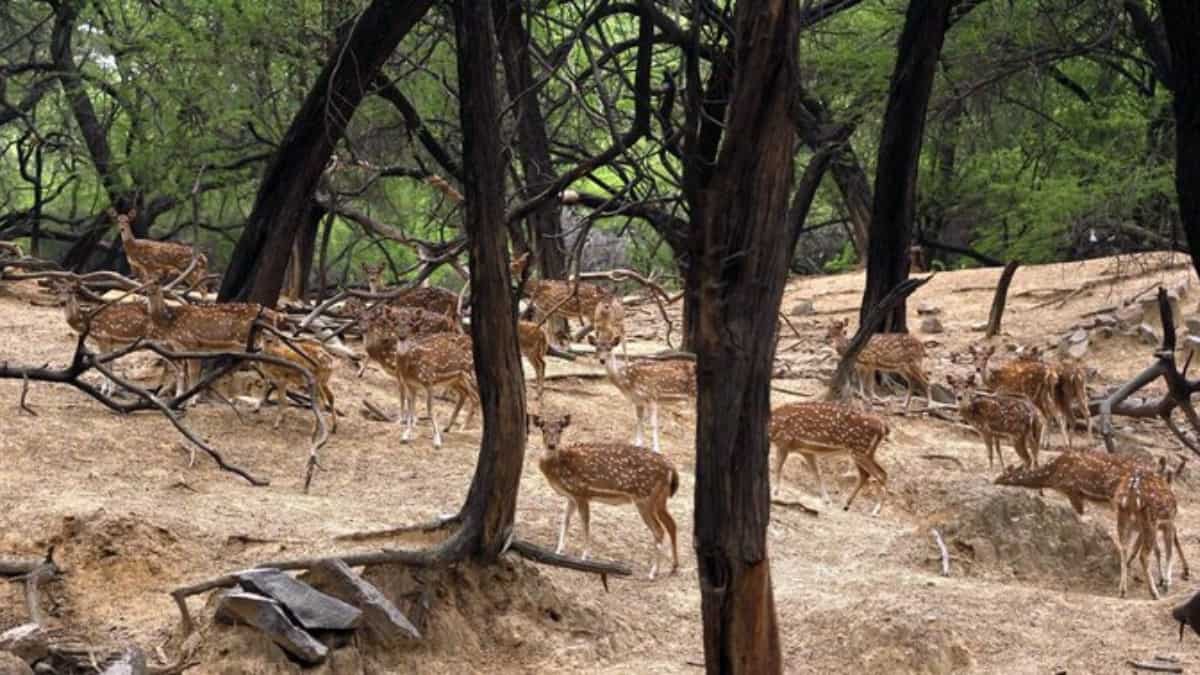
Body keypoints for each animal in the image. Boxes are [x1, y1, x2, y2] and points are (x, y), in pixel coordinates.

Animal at [529, 411, 679, 579]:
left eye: (560, 430)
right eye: (543, 429)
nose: (552, 445)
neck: (559, 469)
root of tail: (671, 468)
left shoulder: (582, 492)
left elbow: (585, 523)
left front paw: (584, 556)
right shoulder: (571, 496)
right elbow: (565, 521)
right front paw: (558, 551)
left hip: (645, 498)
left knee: (659, 530)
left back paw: (653, 572)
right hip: (659, 499)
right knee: (671, 524)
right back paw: (673, 567)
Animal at [995, 451, 1187, 598]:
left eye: (1002, 476)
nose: (993, 481)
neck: (1053, 475)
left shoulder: (1073, 491)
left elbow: (1080, 516)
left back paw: (1169, 578)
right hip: (1134, 516)